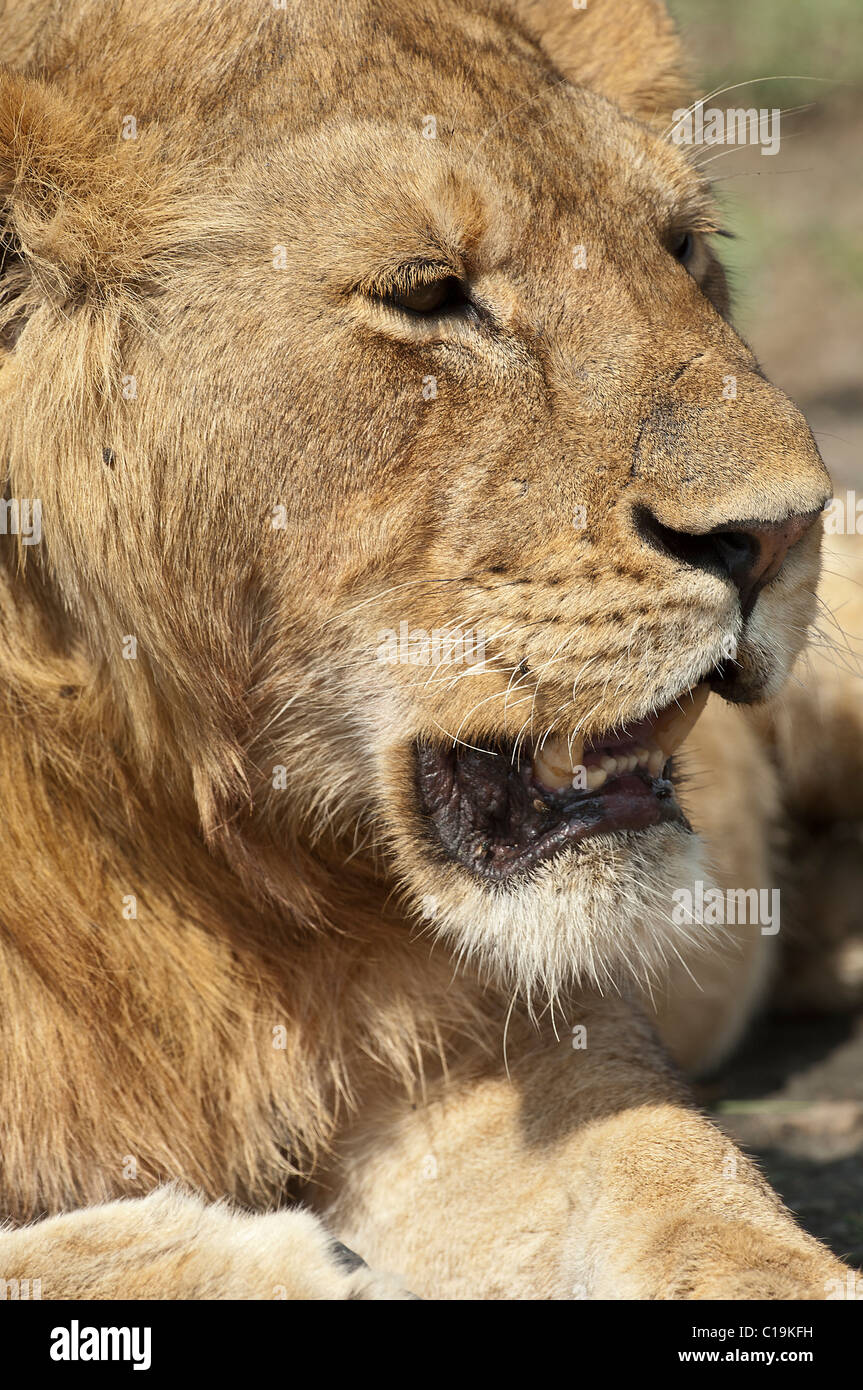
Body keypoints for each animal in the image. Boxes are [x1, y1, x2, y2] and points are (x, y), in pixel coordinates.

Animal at [0, 0, 860, 1300]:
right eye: (426, 293)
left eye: (677, 249)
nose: (775, 530)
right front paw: (274, 1261)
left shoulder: (470, 1044)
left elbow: (673, 1173)